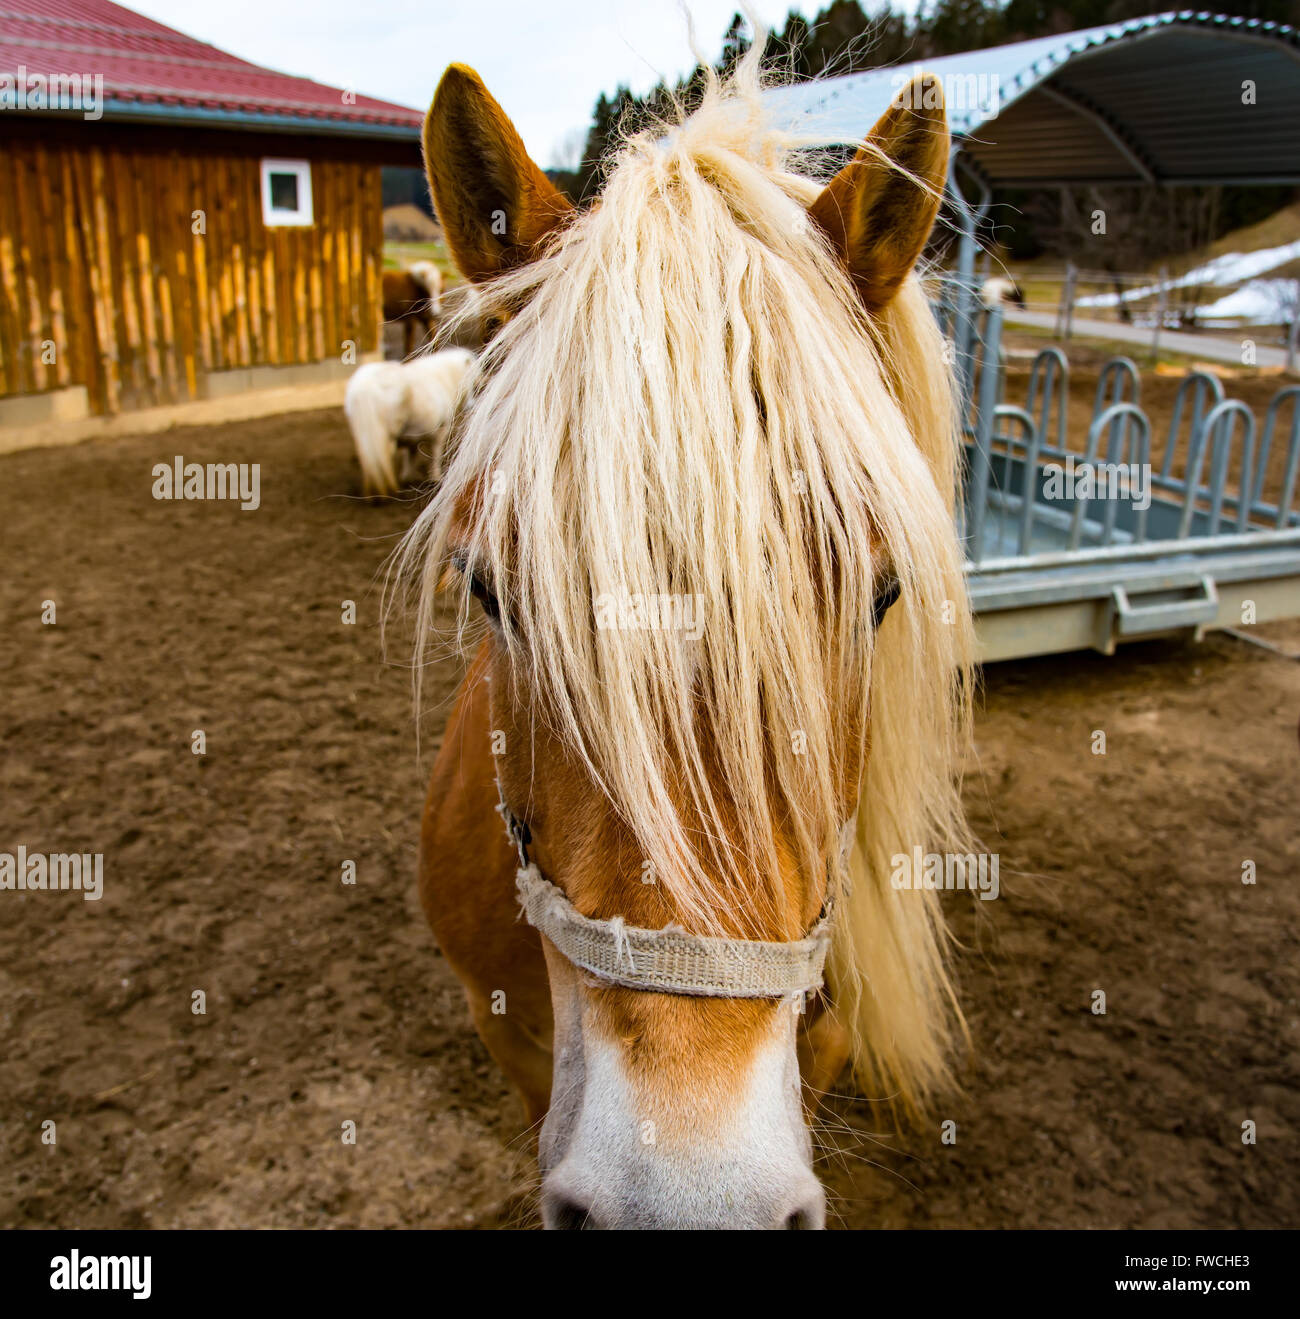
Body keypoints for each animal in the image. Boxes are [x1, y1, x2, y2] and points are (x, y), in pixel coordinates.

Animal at [344, 347, 474, 496]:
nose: (471, 406)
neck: (444, 378)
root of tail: (365, 387)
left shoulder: (412, 436)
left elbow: (410, 455)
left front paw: (407, 476)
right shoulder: (441, 430)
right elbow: (436, 455)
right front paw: (435, 478)